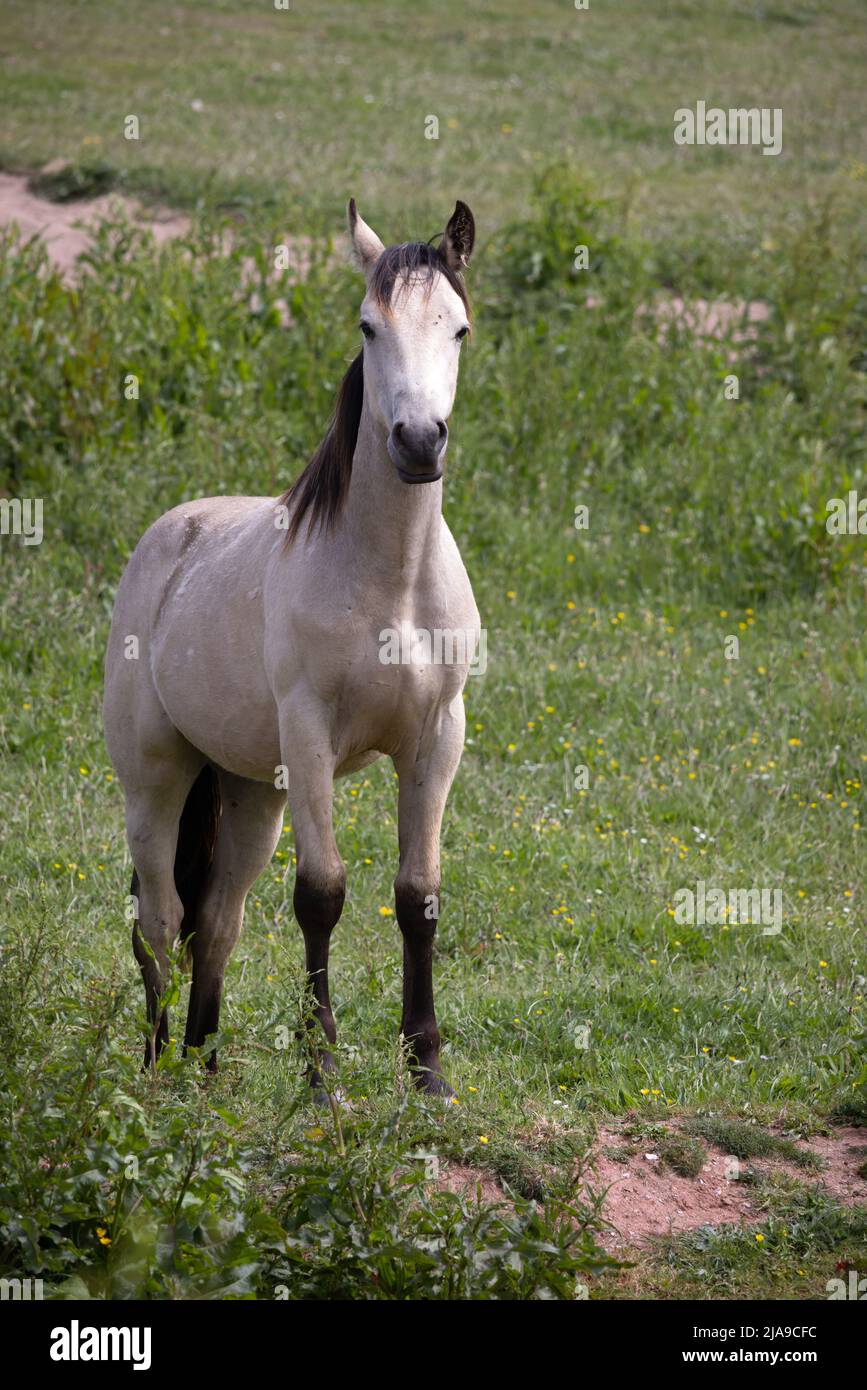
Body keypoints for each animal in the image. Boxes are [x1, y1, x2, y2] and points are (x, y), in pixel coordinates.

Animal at [103, 199, 479, 1097]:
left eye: (457, 329)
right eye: (368, 326)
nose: (419, 441)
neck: (390, 579)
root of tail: (168, 539)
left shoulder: (436, 739)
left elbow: (417, 897)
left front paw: (427, 1069)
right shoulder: (309, 737)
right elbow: (321, 895)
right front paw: (321, 1071)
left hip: (249, 793)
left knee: (217, 921)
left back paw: (204, 1069)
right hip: (156, 781)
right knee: (160, 921)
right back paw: (156, 1070)